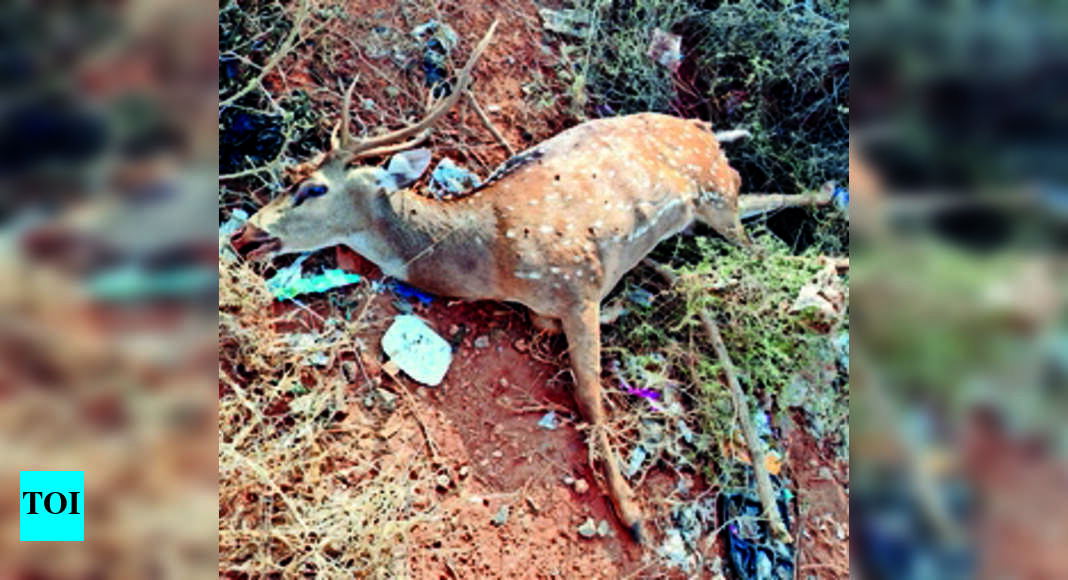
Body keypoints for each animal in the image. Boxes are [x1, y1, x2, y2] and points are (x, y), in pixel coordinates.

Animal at [230, 21, 830, 542]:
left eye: (313, 188)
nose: (246, 234)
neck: (491, 256)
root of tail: (702, 126)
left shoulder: (578, 279)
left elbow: (589, 394)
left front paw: (633, 516)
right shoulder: (555, 300)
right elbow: (550, 334)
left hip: (711, 192)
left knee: (752, 232)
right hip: (712, 201)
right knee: (756, 205)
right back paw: (825, 205)